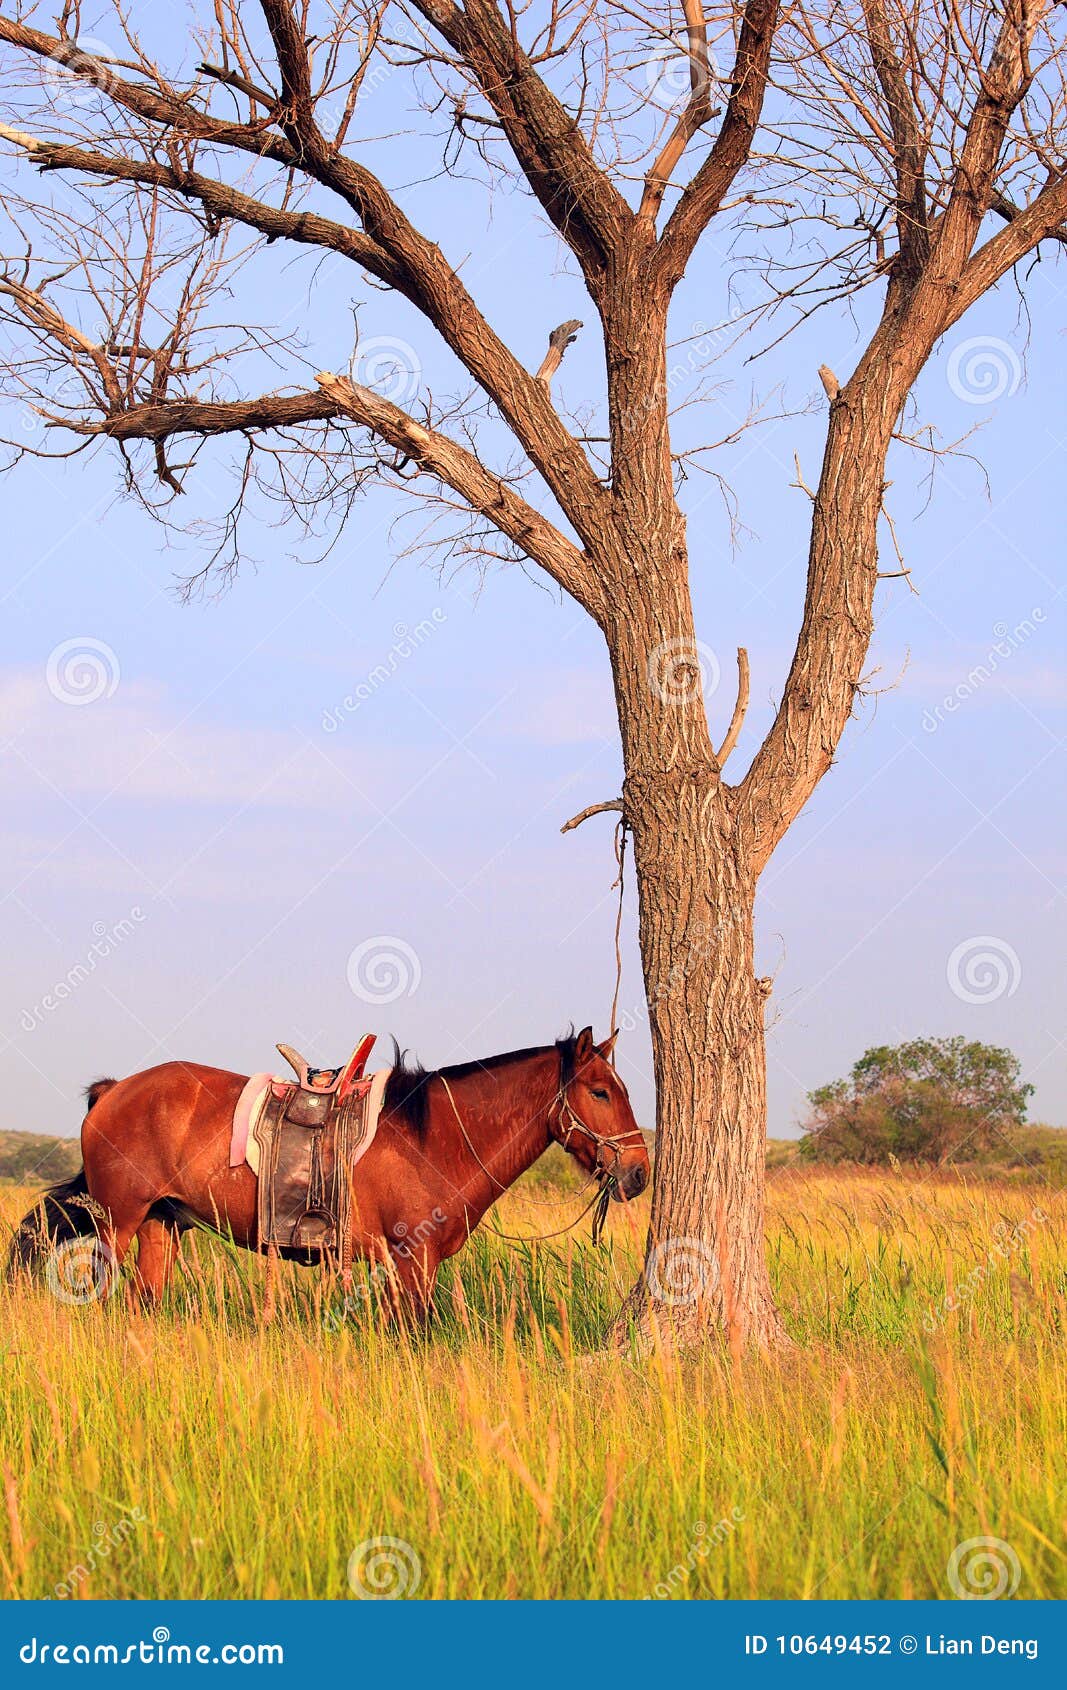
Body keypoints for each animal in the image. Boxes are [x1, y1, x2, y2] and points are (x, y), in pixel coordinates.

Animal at [9, 1027, 649, 1321]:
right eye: (599, 1091)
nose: (640, 1172)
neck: (433, 1137)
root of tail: (115, 1090)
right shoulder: (411, 1262)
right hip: (117, 1223)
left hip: (159, 1226)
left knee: (144, 1300)